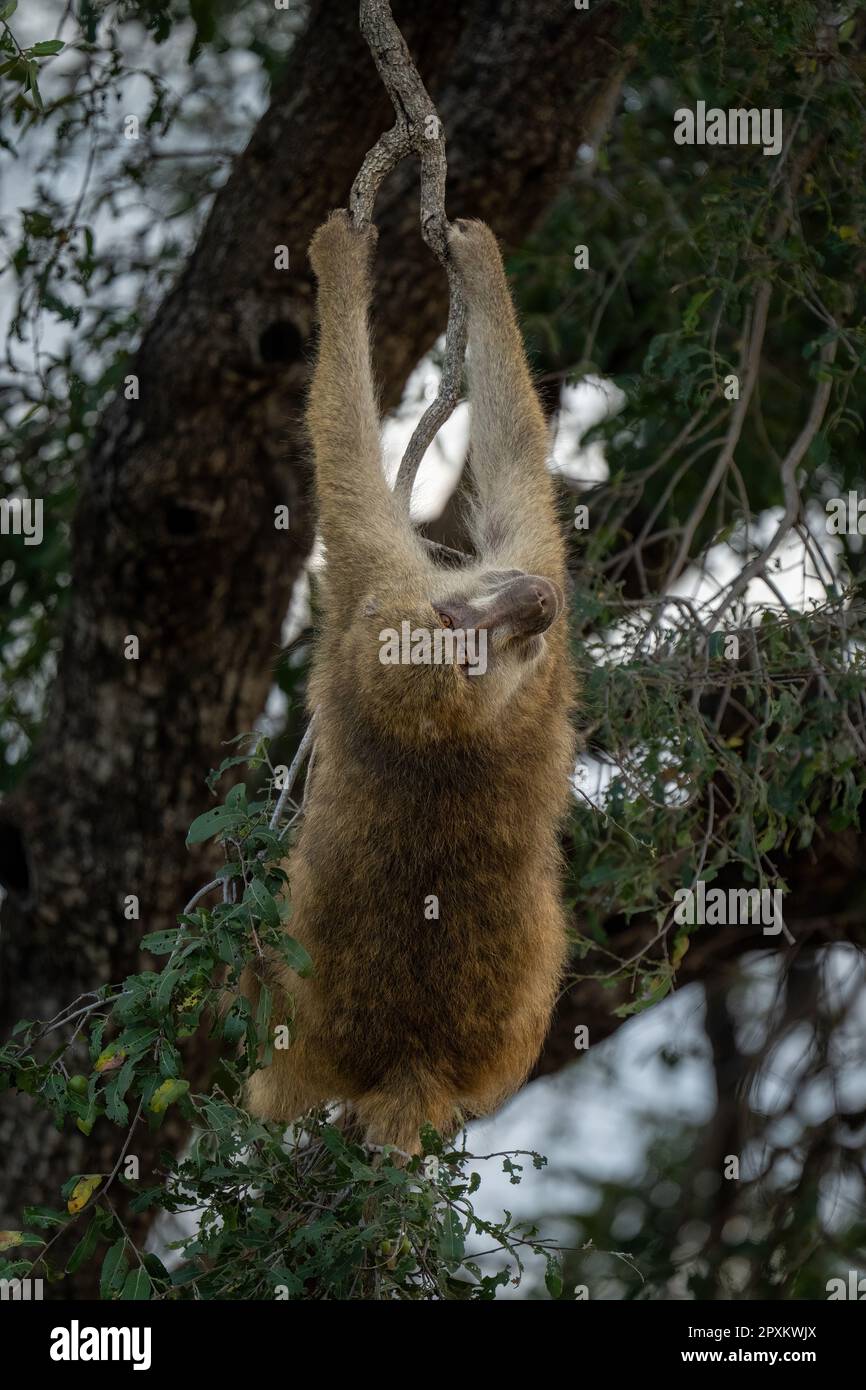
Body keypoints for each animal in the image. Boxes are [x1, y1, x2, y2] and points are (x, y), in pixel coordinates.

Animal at [242, 210, 576, 1154]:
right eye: (470, 644)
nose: (532, 609)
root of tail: (412, 1064)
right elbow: (498, 470)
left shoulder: (387, 589)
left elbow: (346, 448)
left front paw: (393, 259)